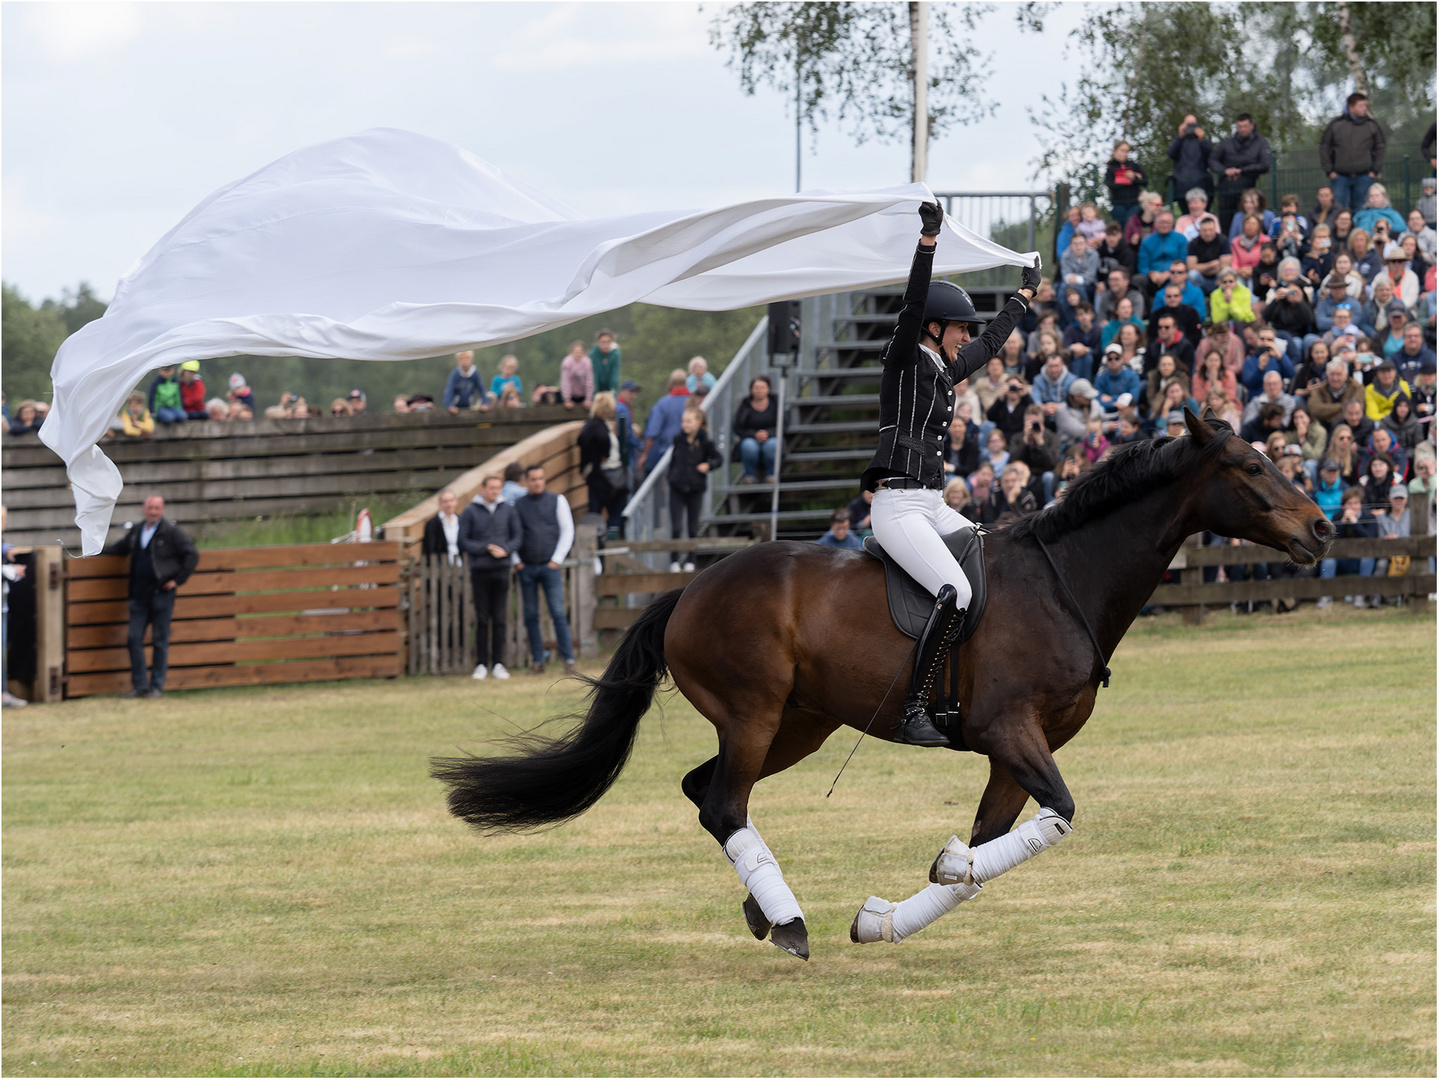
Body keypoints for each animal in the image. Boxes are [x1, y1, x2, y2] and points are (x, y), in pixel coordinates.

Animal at [431, 408, 1329, 960]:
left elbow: (981, 856)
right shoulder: (1011, 734)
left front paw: (889, 915)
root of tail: (686, 589)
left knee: (707, 794)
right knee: (721, 802)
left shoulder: (1009, 756)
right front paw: (924, 882)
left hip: (799, 725)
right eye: (1249, 466)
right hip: (755, 714)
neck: (1064, 578)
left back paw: (764, 909)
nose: (1322, 527)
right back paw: (787, 919)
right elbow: (1052, 822)